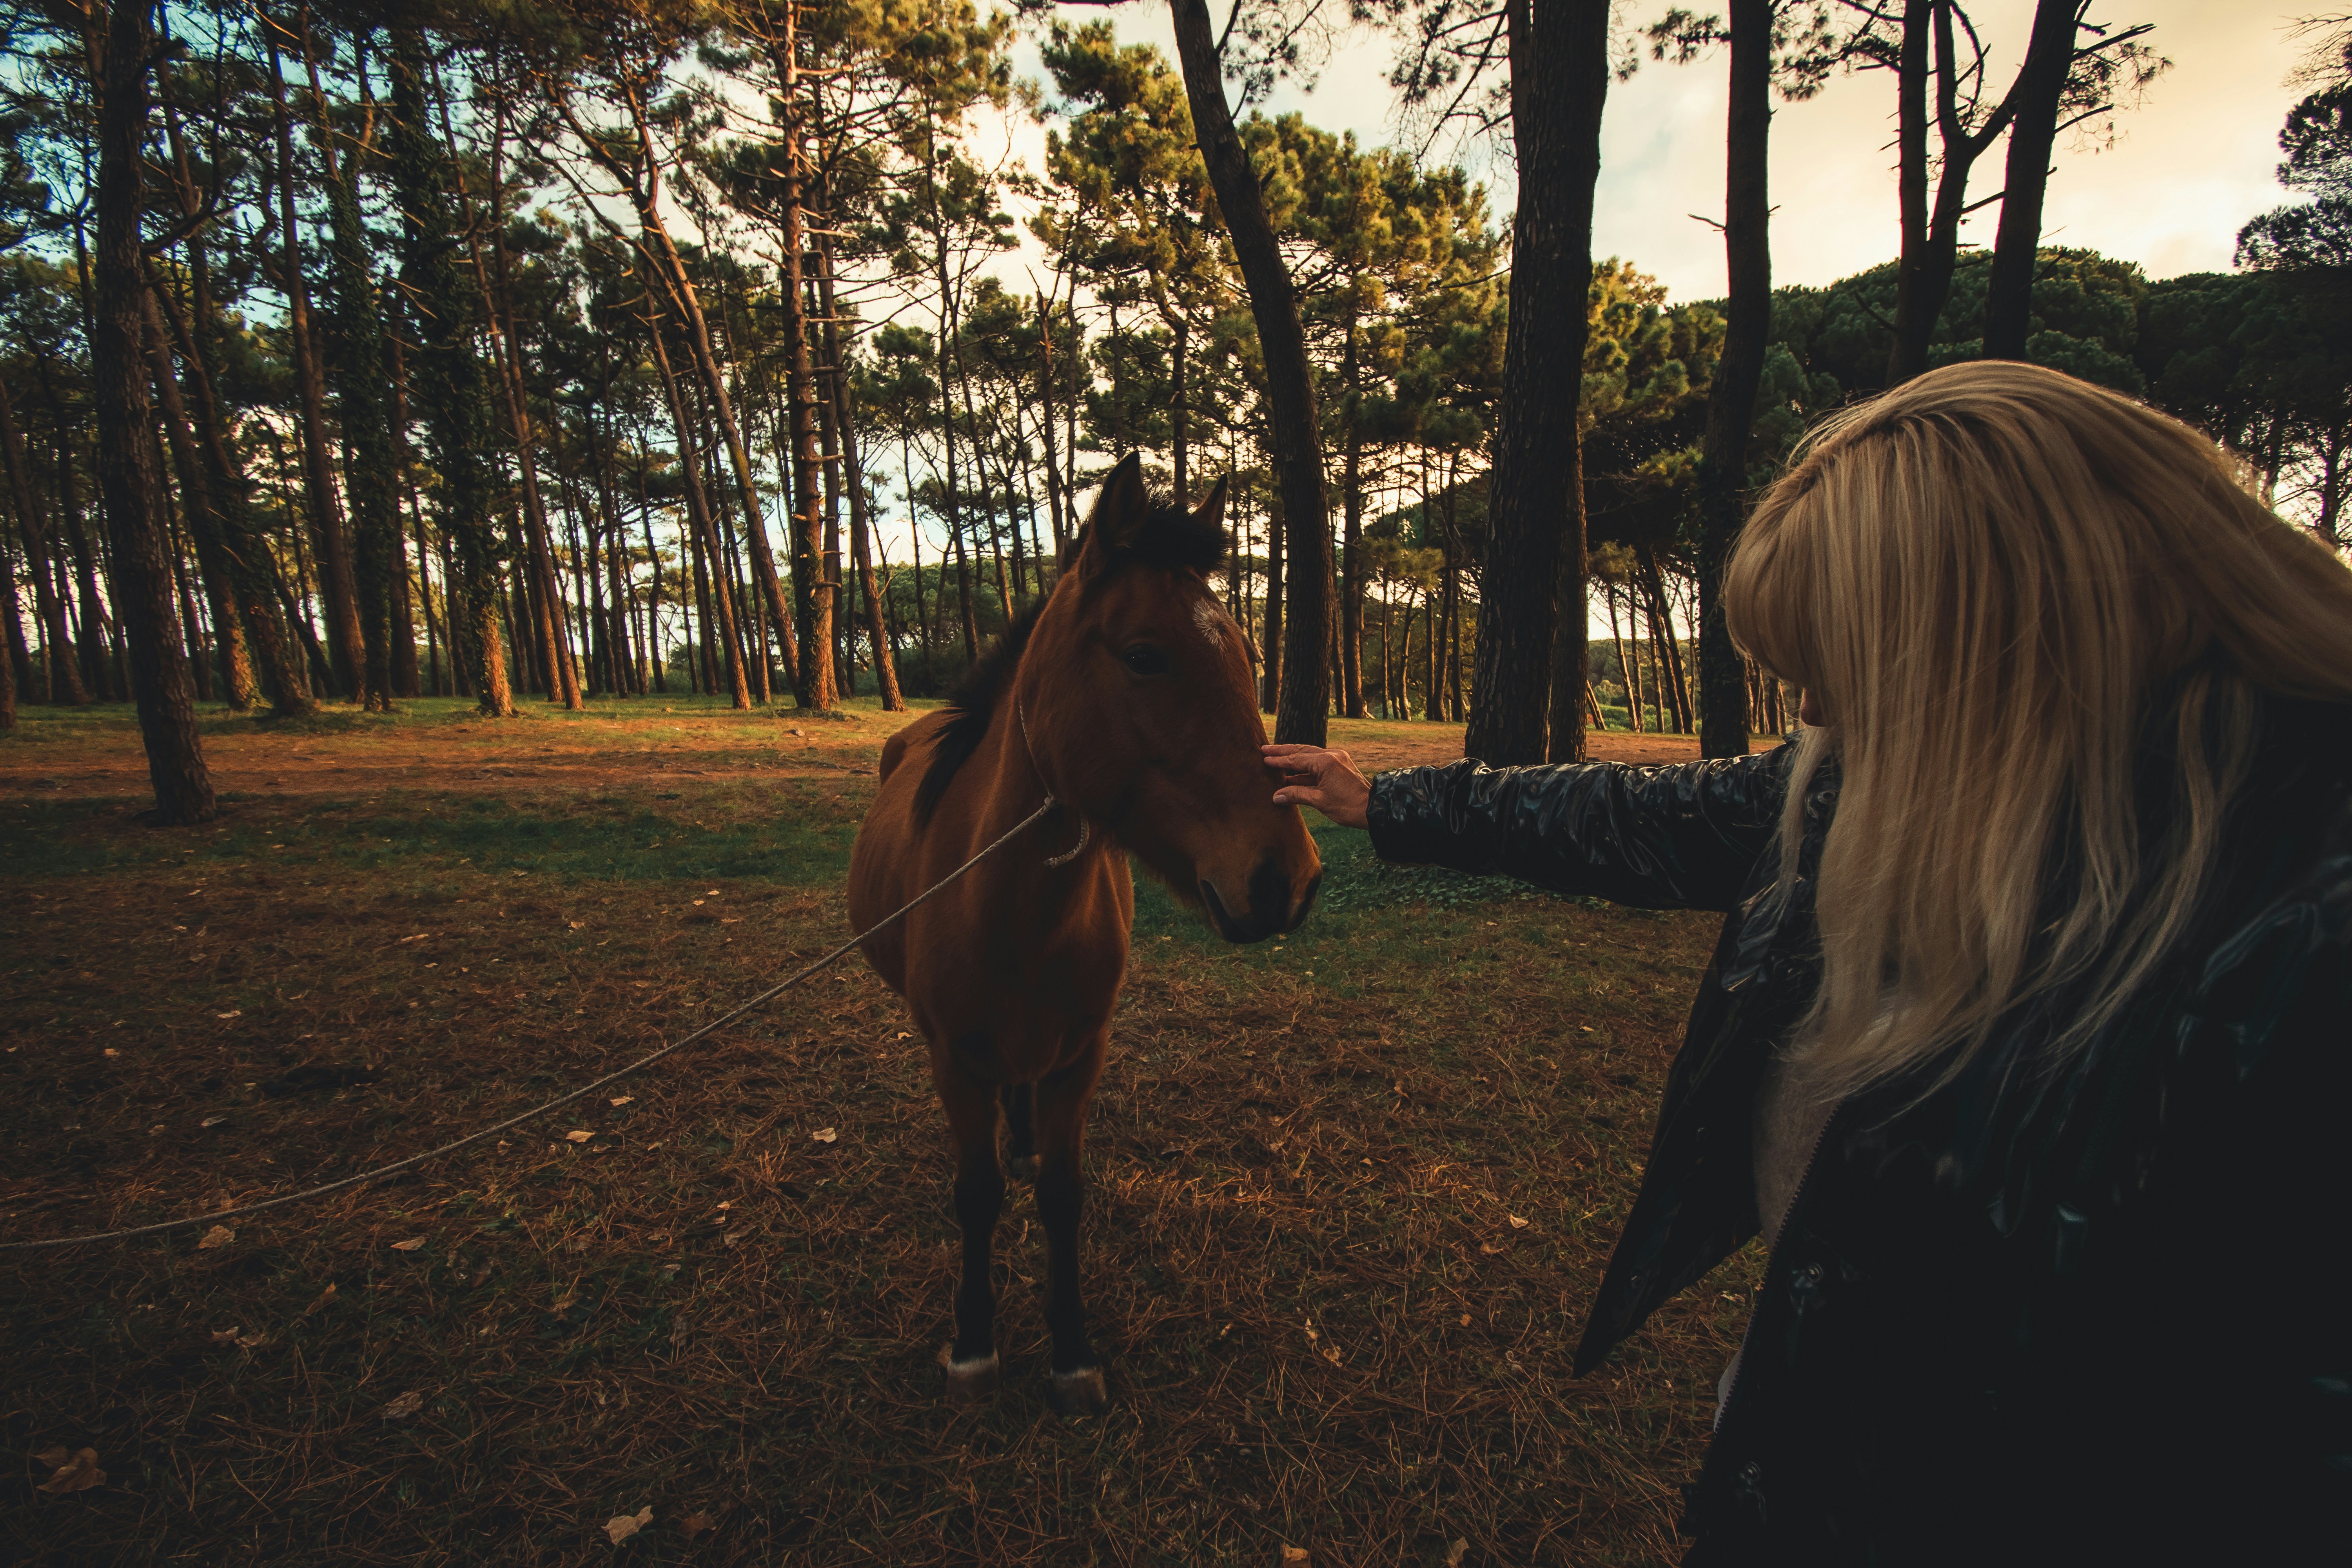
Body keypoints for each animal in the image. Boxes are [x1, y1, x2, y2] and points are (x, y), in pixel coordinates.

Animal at [848, 453, 1322, 1415]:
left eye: (1248, 656)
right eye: (1145, 656)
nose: (1285, 880)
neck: (1009, 912)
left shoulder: (1081, 1055)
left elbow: (1063, 1194)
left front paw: (1070, 1350)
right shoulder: (954, 1060)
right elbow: (977, 1192)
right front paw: (974, 1342)